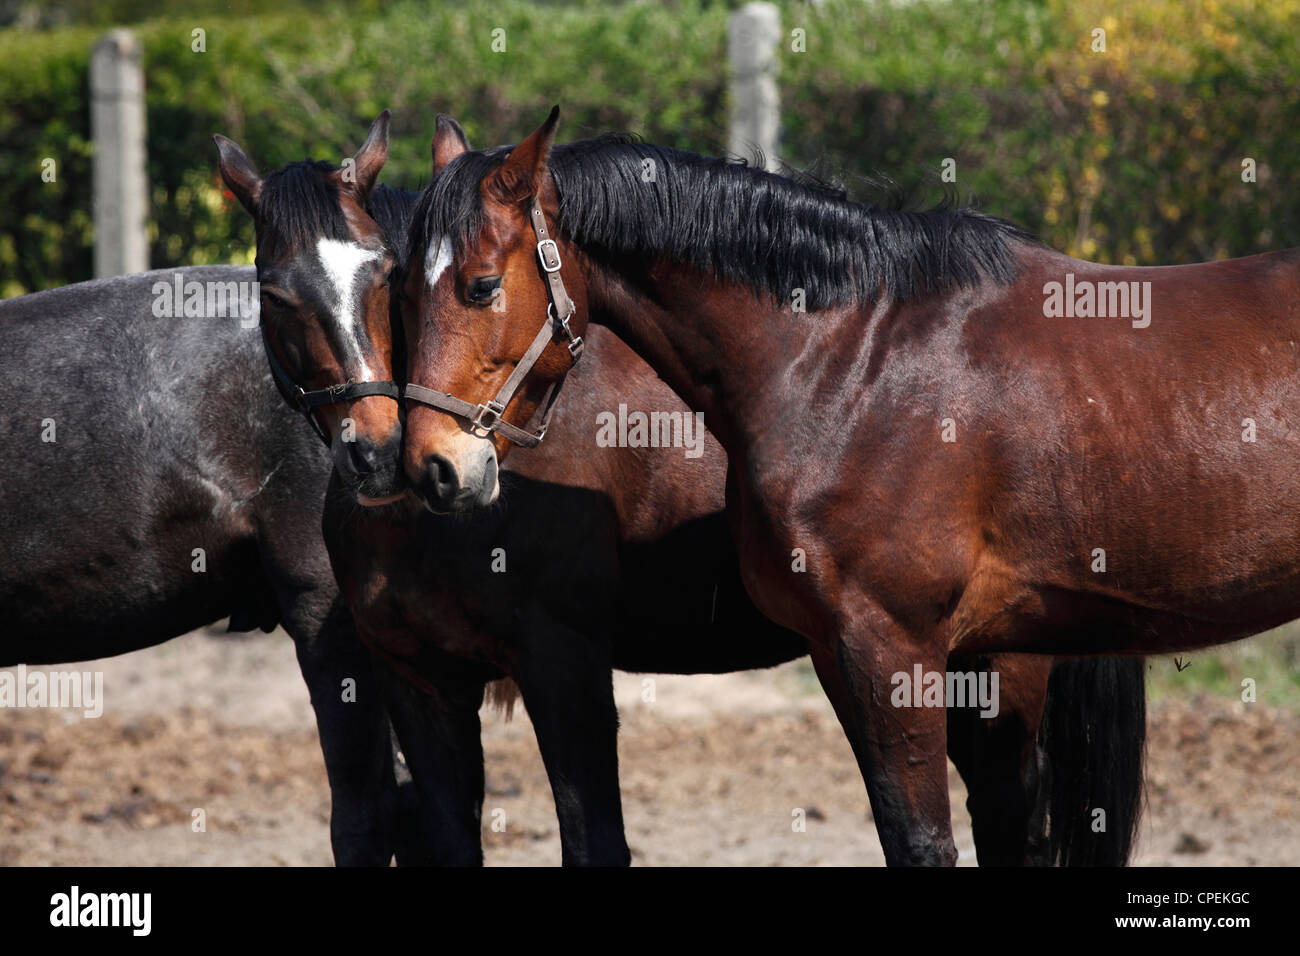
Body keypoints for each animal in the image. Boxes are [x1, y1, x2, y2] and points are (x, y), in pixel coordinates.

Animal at [216, 110, 1146, 865]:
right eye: (275, 292)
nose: (390, 457)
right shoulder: (420, 683)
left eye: (383, 276)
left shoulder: (564, 666)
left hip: (993, 673)